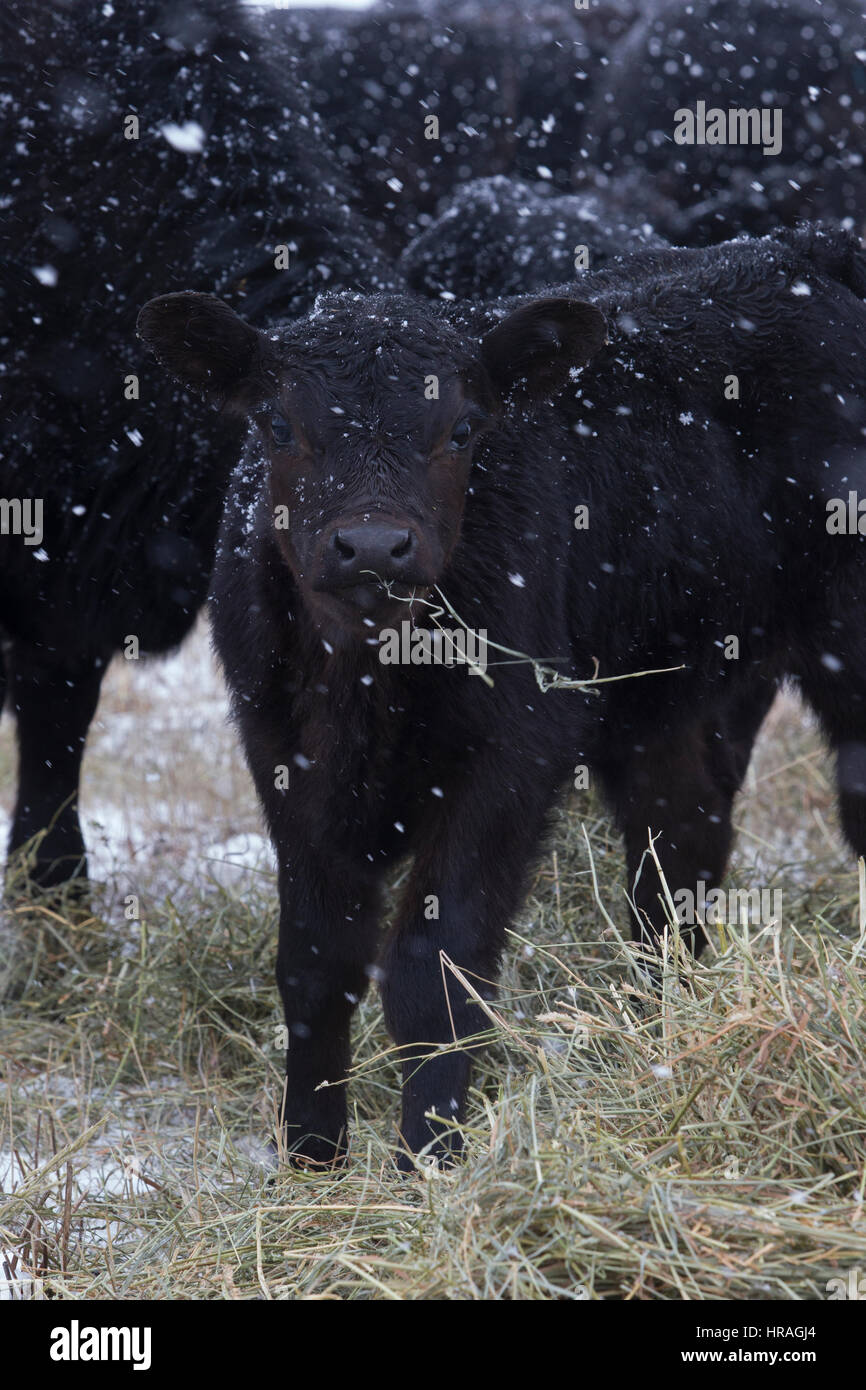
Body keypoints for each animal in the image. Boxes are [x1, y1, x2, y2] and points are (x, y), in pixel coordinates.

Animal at [140, 224, 866, 1171]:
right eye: (276, 423)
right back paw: (660, 1028)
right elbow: (314, 966)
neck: (366, 687)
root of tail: (793, 248)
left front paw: (428, 1166)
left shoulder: (513, 753)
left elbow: (434, 972)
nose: (372, 545)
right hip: (659, 698)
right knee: (681, 845)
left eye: (462, 428)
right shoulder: (283, 756)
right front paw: (312, 1164)